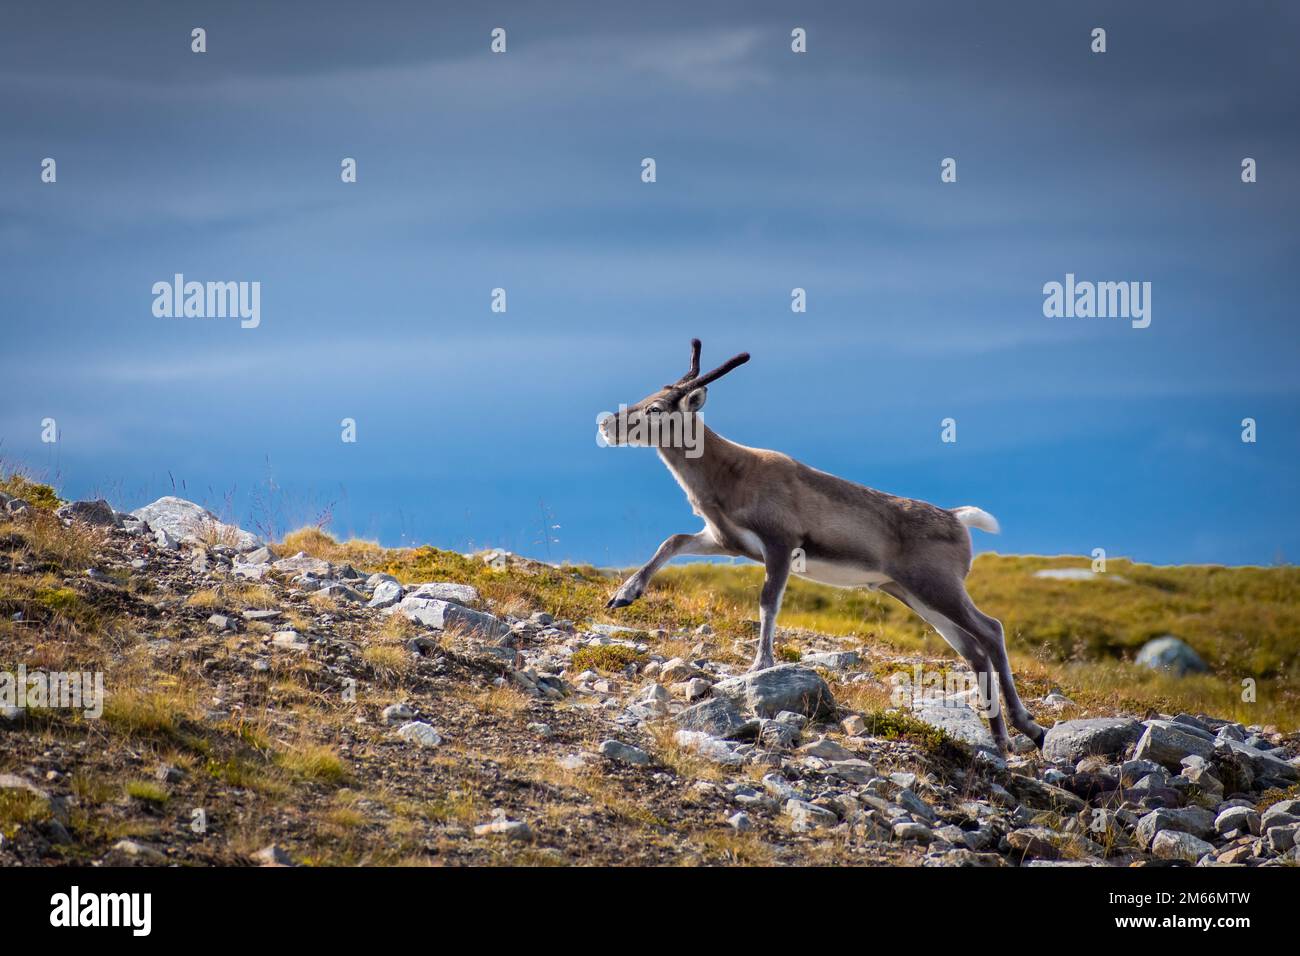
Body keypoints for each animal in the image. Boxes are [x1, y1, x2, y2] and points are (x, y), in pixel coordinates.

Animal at [597, 339, 1046, 753]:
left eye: (657, 409)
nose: (606, 423)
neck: (728, 473)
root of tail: (957, 518)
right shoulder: (727, 540)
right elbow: (672, 540)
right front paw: (623, 596)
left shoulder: (781, 543)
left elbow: (768, 601)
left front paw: (759, 666)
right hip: (911, 594)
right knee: (973, 649)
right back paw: (1002, 738)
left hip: (937, 586)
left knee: (992, 630)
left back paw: (1027, 727)